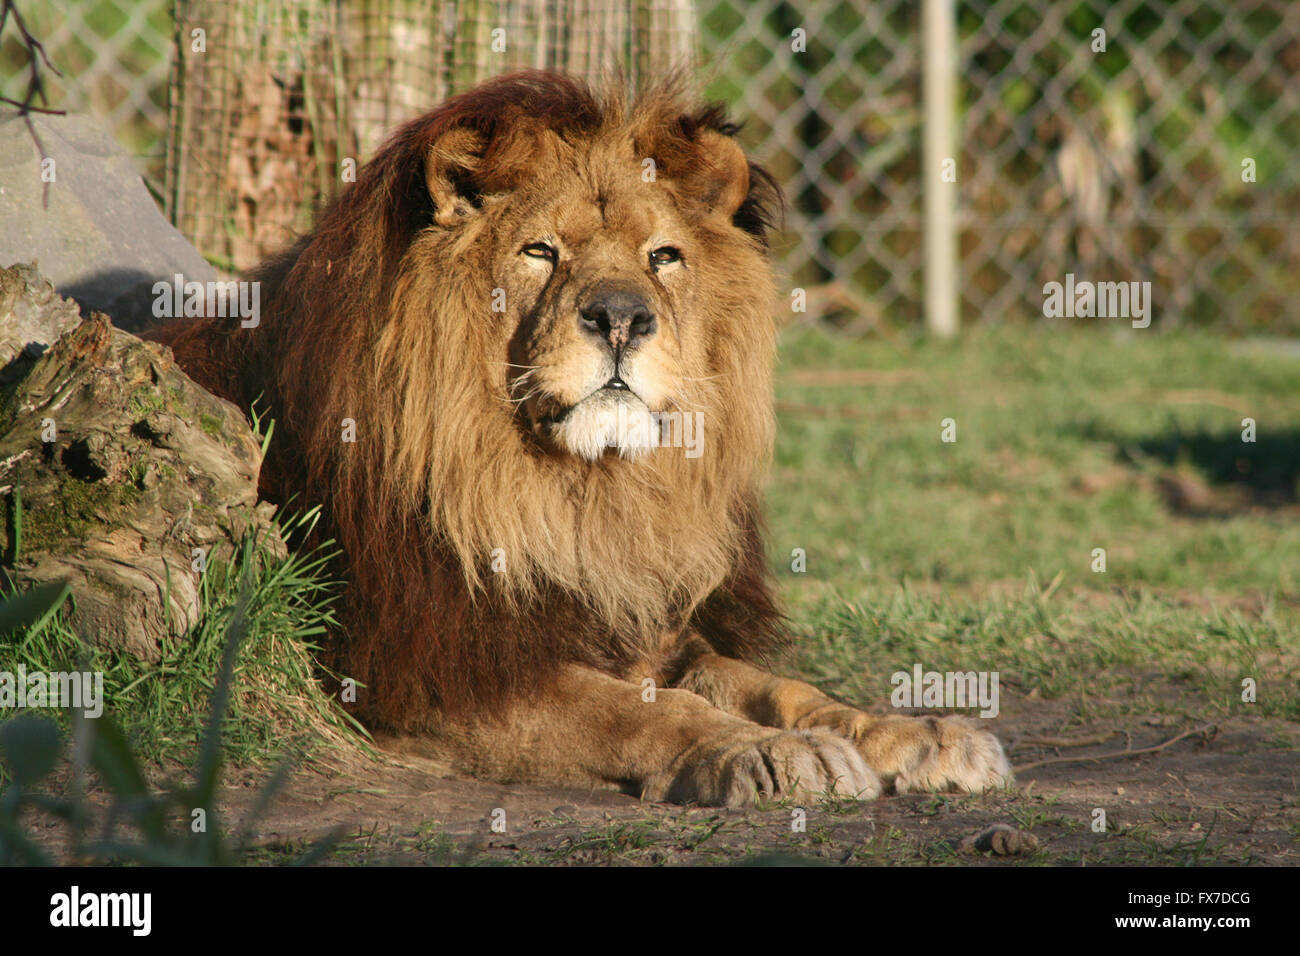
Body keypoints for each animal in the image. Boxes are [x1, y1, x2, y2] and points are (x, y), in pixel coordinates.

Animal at [149, 71, 1011, 806]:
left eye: (663, 256)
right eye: (539, 251)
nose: (622, 317)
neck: (577, 495)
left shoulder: (644, 622)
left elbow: (777, 688)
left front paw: (911, 733)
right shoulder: (429, 671)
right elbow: (632, 710)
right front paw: (762, 752)